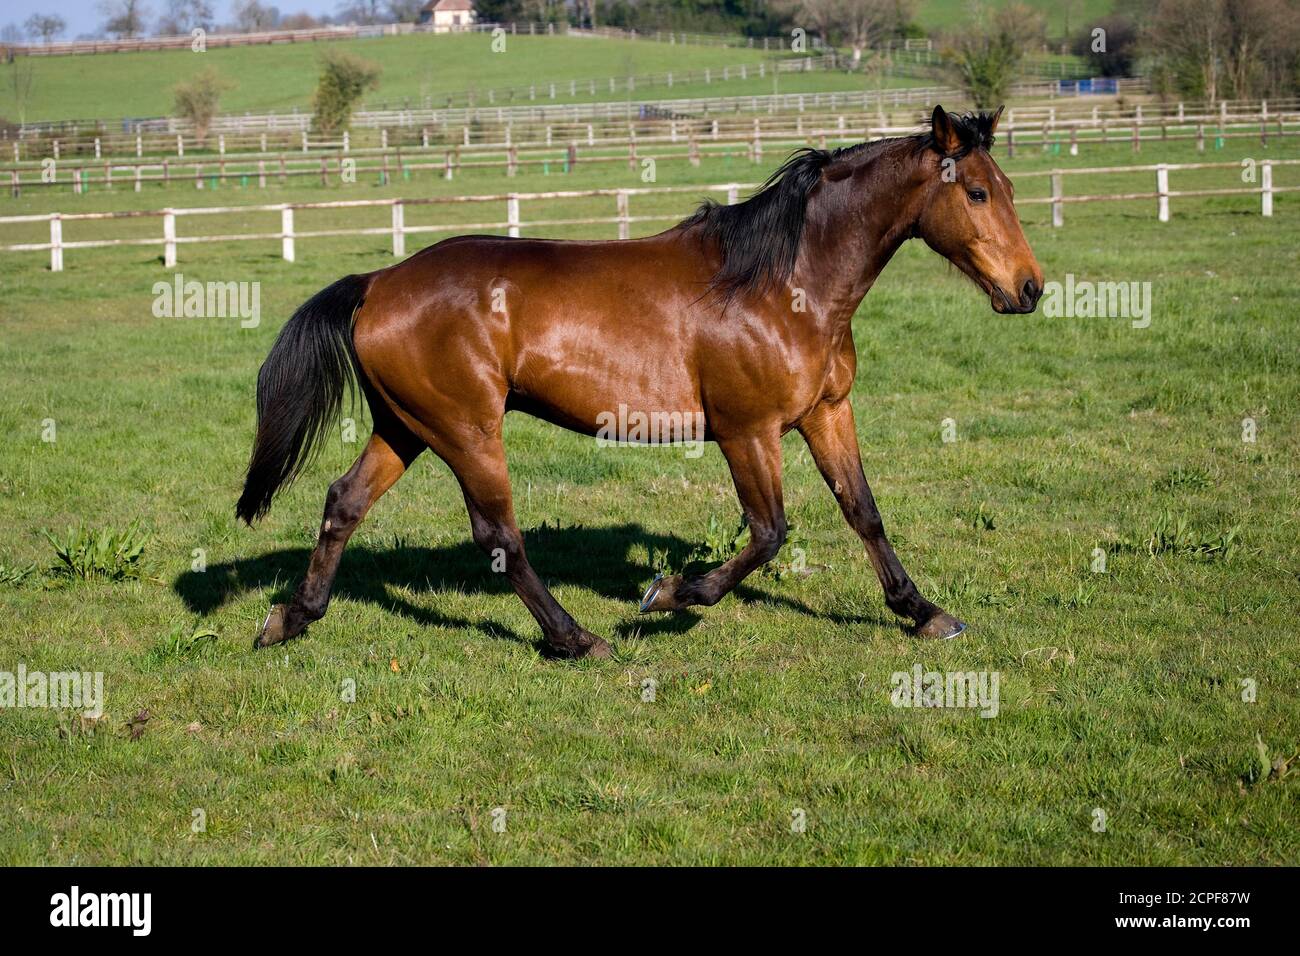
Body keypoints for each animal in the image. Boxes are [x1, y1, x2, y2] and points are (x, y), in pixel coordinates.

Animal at [236, 105, 1044, 659]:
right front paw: (670, 592)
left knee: (344, 502)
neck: (786, 284)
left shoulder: (826, 413)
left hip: (406, 426)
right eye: (976, 193)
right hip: (466, 432)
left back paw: (291, 618)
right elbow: (769, 531)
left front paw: (925, 612)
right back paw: (576, 638)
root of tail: (377, 283)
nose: (1030, 289)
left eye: (1006, 186)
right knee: (499, 535)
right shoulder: (748, 432)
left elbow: (864, 513)